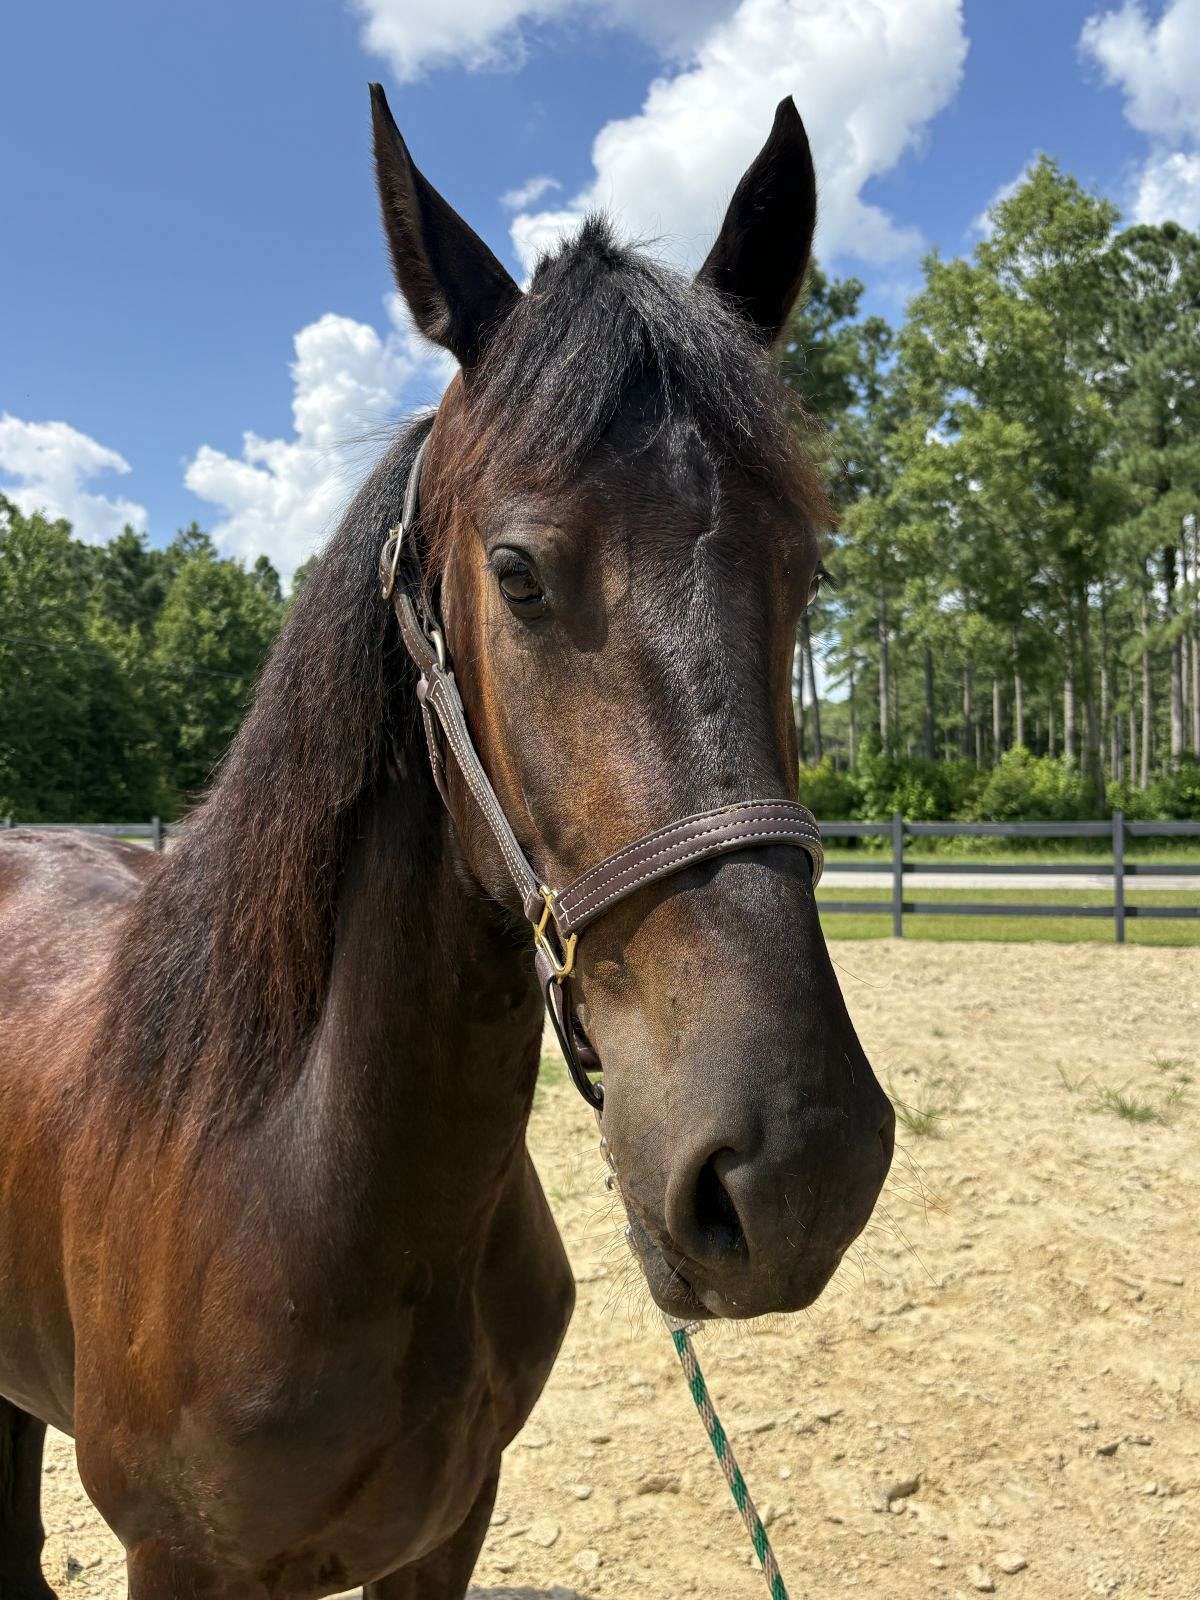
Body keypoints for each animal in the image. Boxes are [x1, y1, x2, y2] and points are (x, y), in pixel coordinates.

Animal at [0, 84, 893, 1599]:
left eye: (806, 572)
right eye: (517, 574)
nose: (798, 1169)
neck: (308, 1186)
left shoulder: (451, 1524)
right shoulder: (177, 1560)